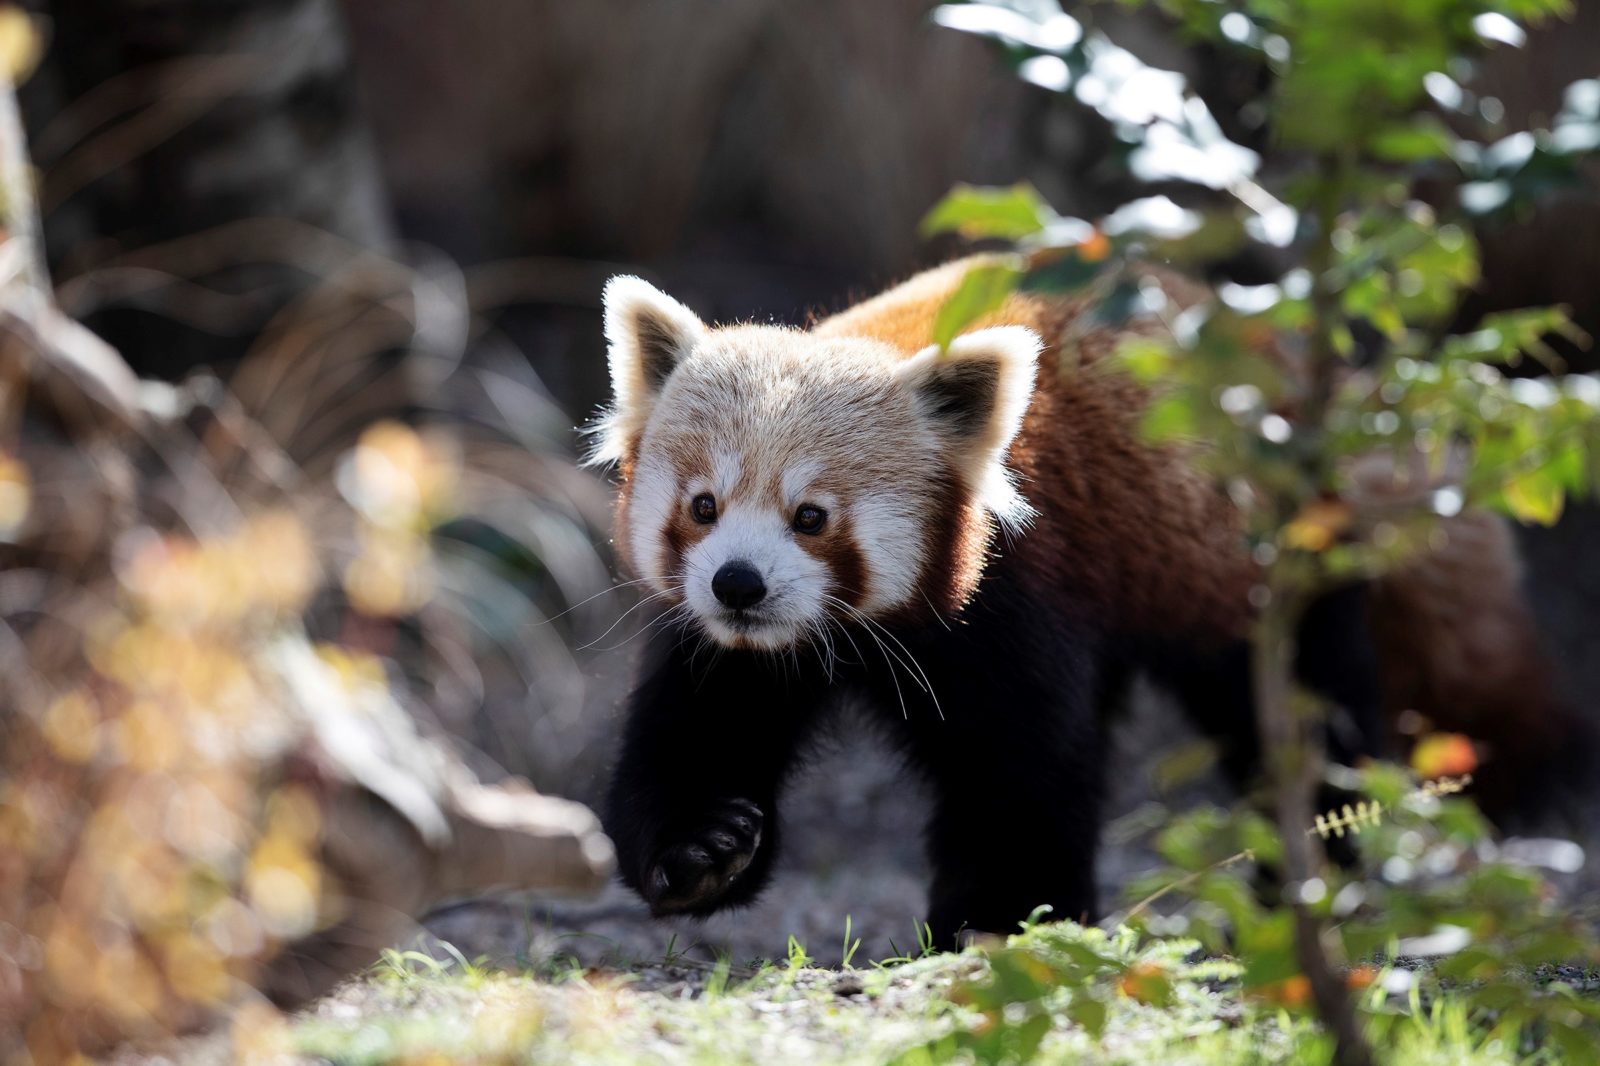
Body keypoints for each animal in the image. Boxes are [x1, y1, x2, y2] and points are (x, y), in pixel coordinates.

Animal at [590, 255, 1571, 946]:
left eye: (811, 517)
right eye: (704, 506)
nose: (739, 582)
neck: (853, 634)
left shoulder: (1020, 597)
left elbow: (1025, 768)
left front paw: (998, 919)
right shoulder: (725, 647)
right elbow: (695, 734)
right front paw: (704, 852)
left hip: (1258, 569)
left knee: (1305, 716)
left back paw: (1318, 874)